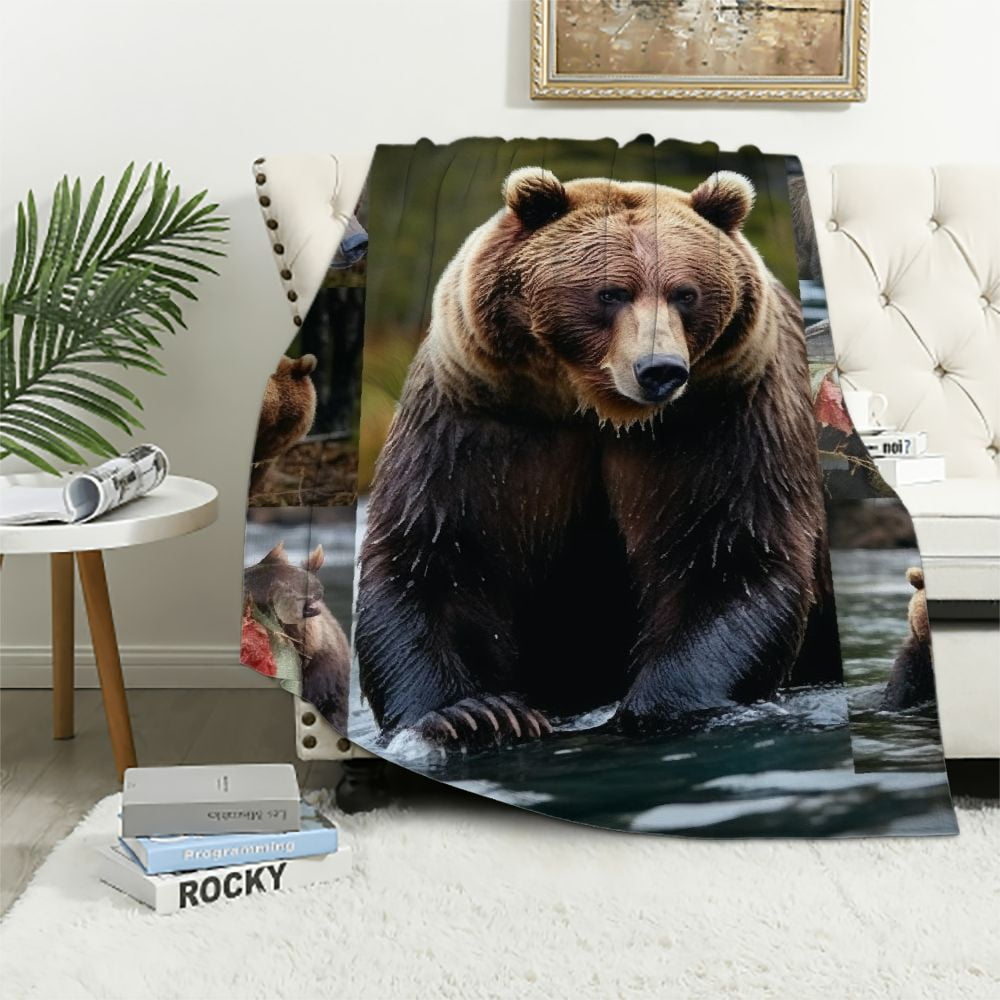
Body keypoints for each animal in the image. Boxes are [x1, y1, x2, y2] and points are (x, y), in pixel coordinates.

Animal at [356, 166, 841, 747]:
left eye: (685, 293)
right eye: (611, 293)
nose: (660, 369)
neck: (597, 411)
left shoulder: (724, 420)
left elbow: (734, 553)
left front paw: (654, 707)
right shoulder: (477, 425)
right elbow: (432, 555)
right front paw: (473, 713)